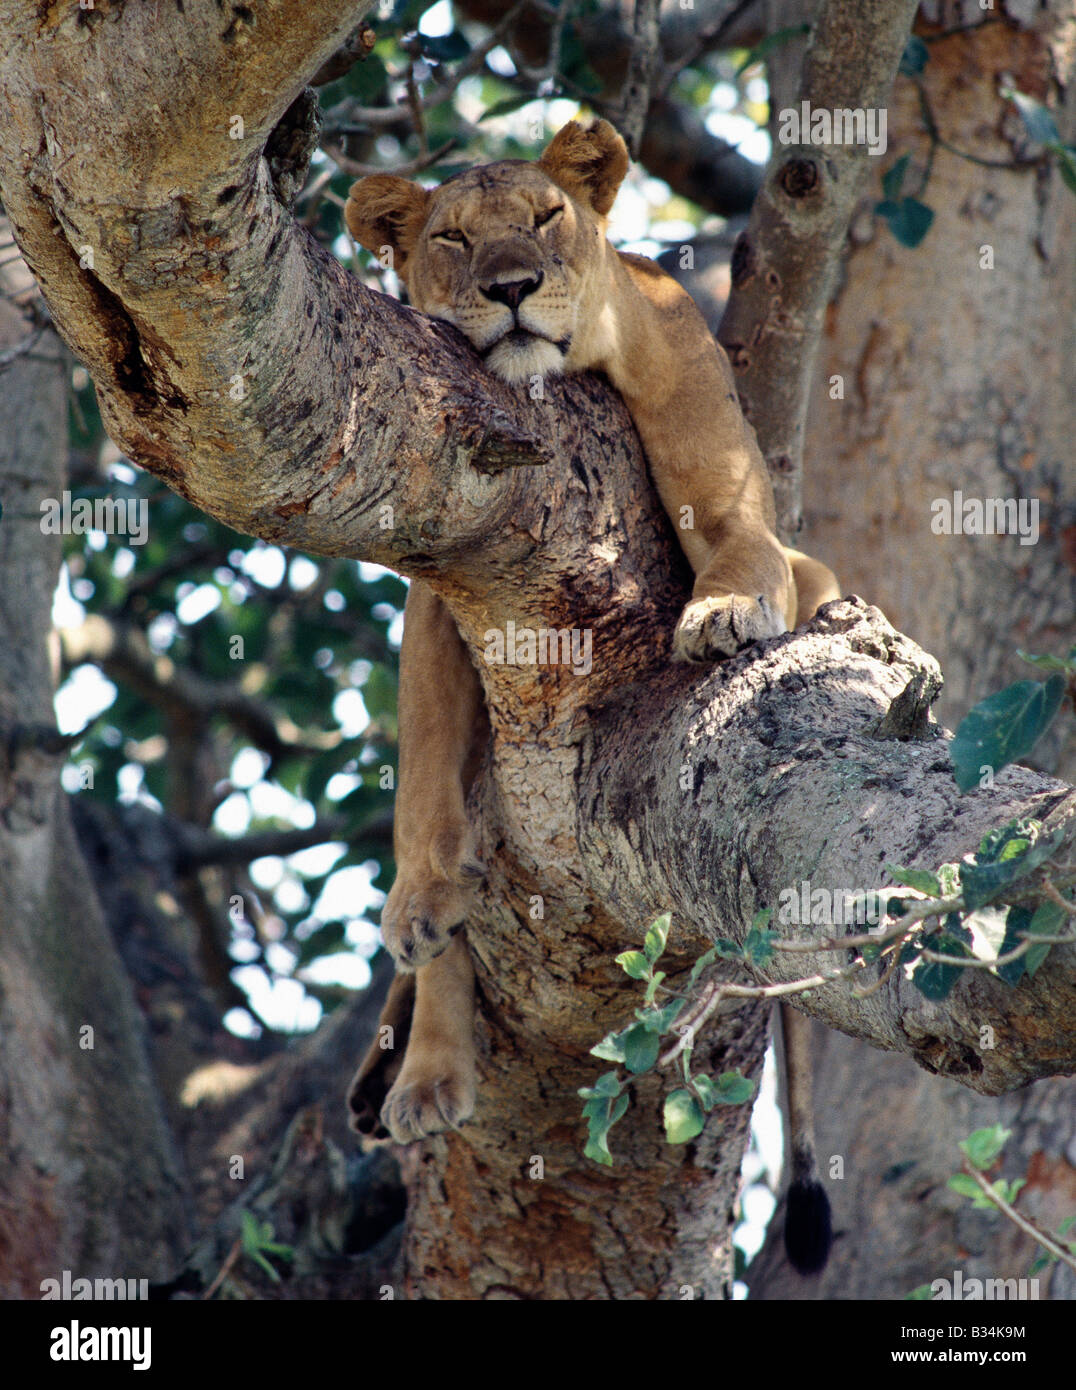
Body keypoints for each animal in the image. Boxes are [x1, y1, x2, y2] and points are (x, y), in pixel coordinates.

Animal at [343, 119, 838, 1271]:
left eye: (545, 217)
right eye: (451, 239)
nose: (512, 286)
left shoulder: (725, 473)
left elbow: (735, 539)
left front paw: (722, 612)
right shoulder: (437, 592)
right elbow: (422, 772)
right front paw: (419, 901)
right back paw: (422, 1071)